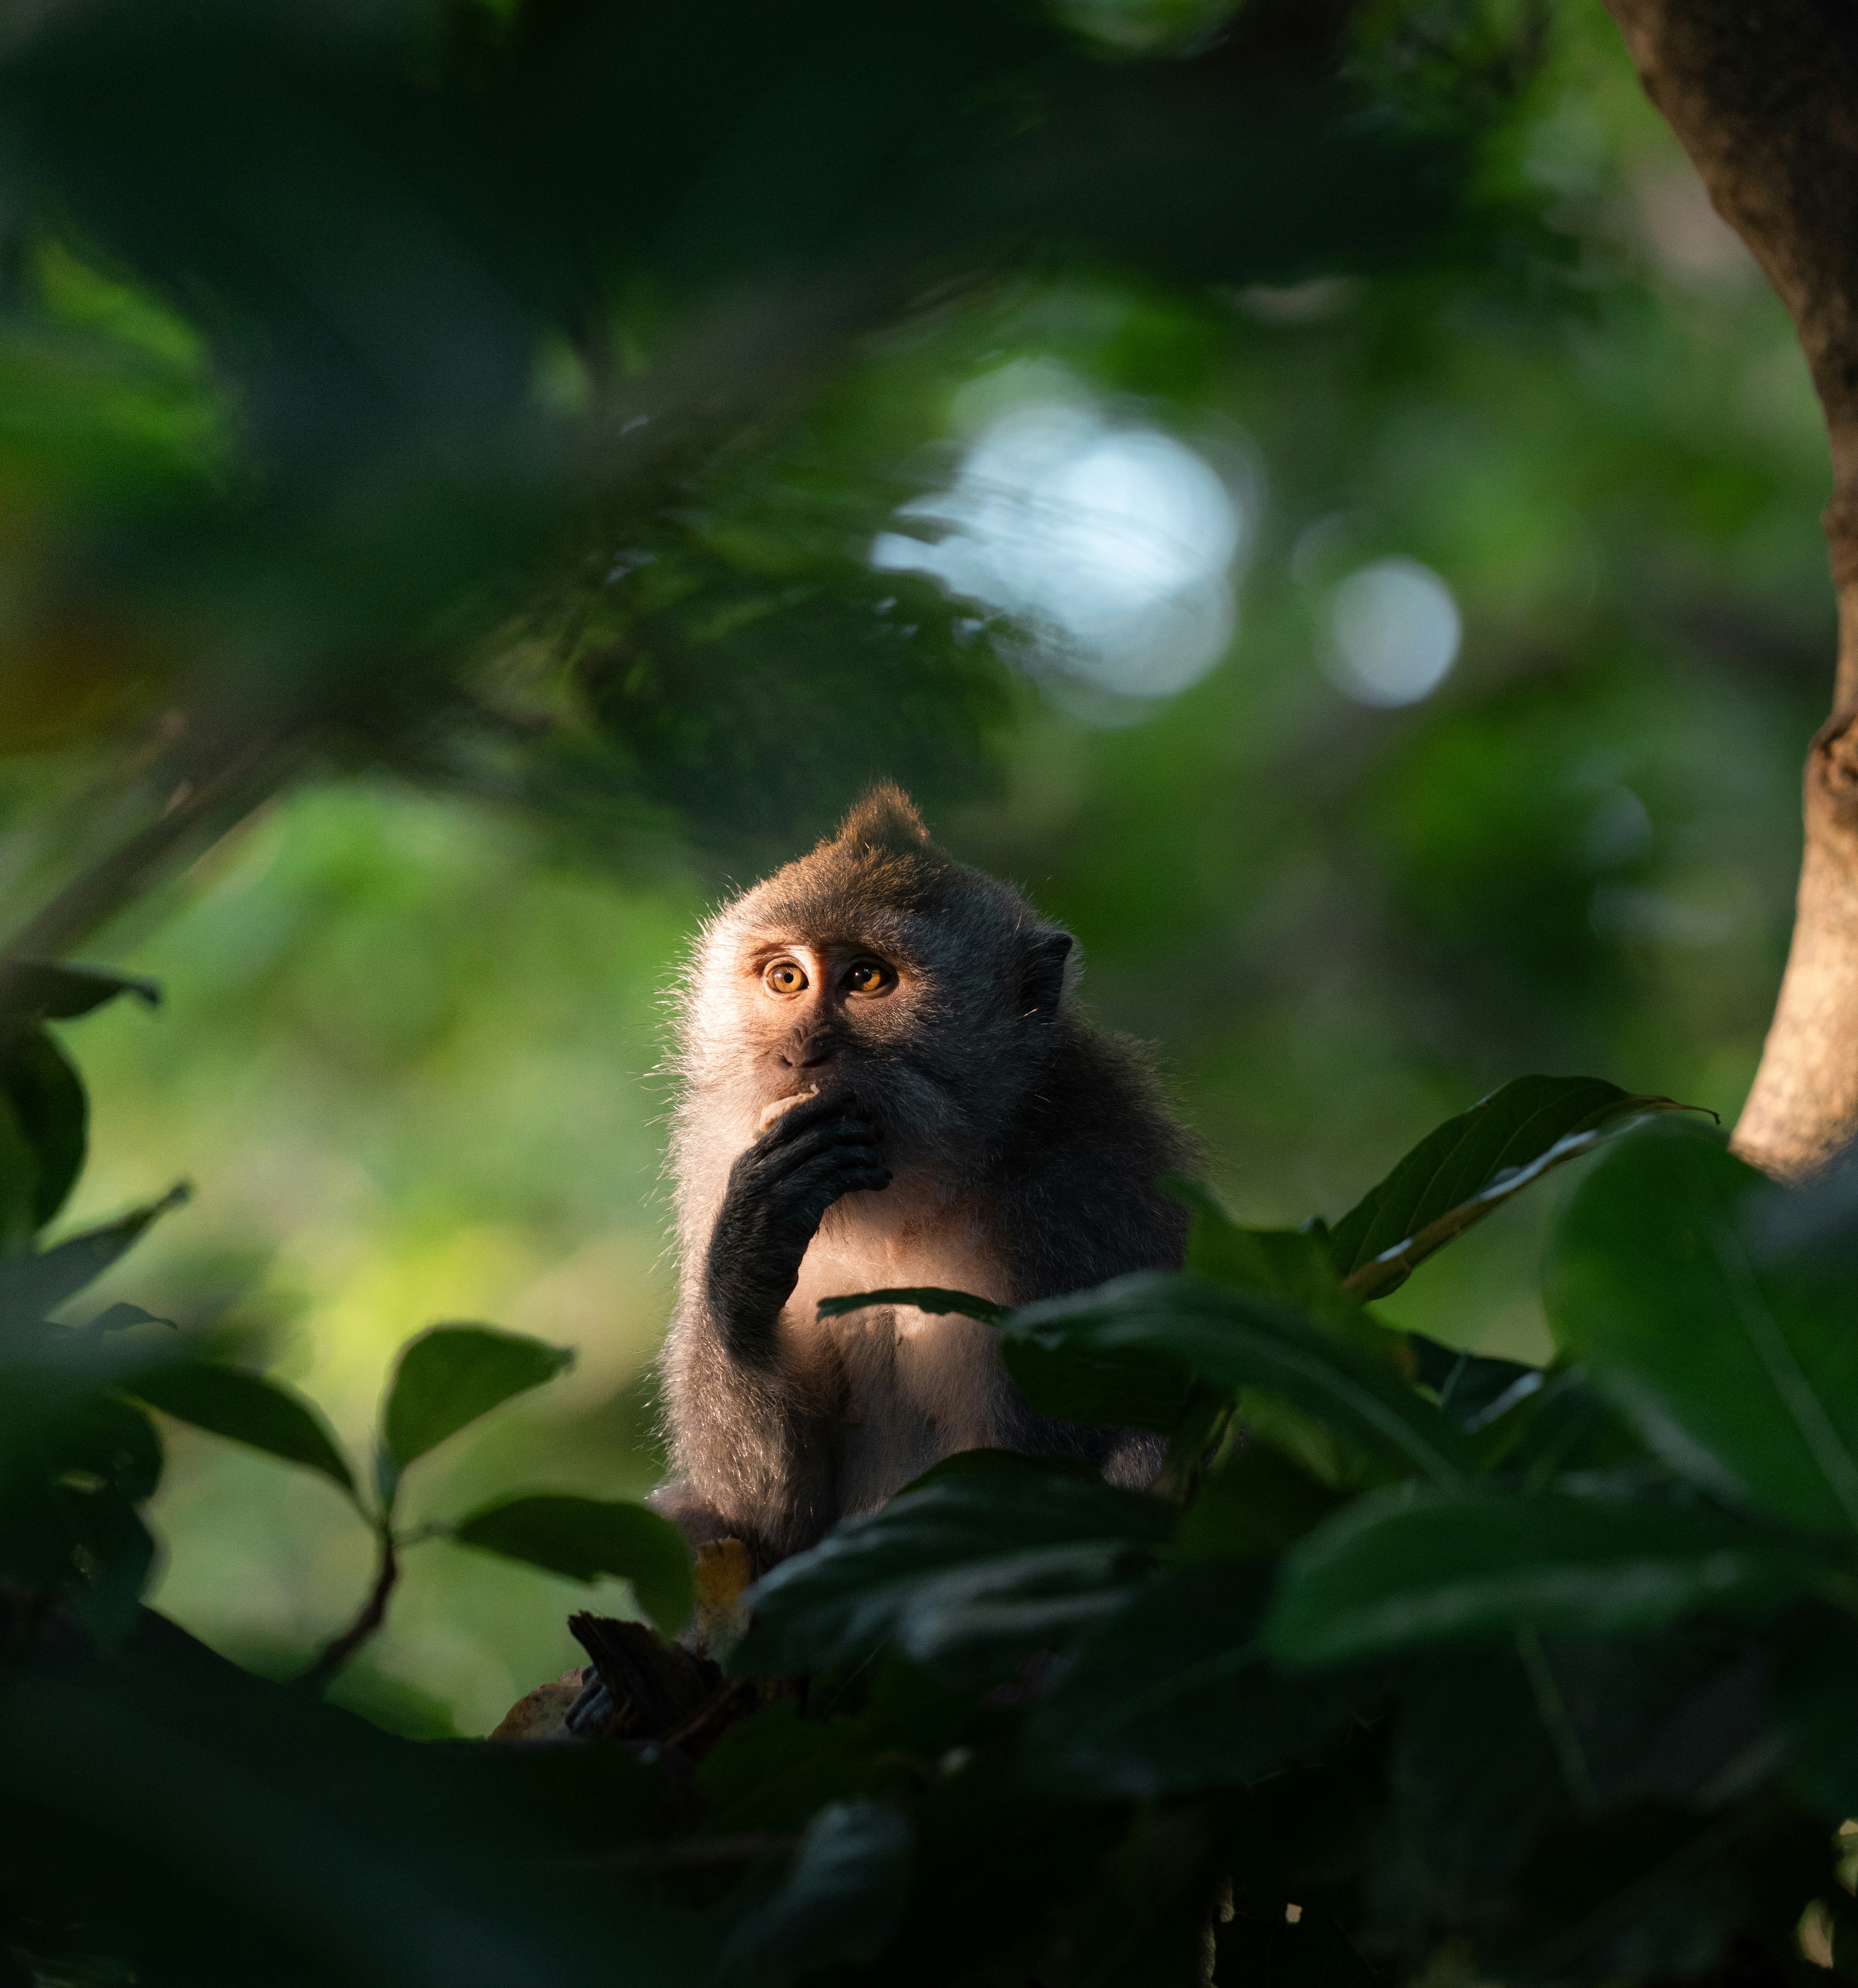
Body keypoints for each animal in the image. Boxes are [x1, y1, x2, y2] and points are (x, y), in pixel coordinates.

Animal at [651, 783, 1197, 1572]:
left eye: (866, 978)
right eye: (786, 978)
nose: (800, 1051)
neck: (918, 1188)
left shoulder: (1086, 1188)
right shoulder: (717, 1151)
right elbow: (766, 1515)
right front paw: (753, 1245)